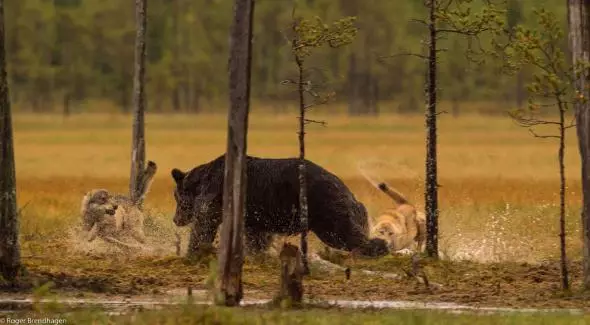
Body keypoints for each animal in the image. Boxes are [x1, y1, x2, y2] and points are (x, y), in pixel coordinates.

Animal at [171, 153, 390, 256]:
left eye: (176, 197)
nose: (176, 219)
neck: (201, 183)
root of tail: (347, 189)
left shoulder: (218, 195)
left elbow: (204, 224)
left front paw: (193, 250)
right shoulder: (255, 213)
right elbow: (256, 236)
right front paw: (256, 253)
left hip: (326, 207)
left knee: (343, 233)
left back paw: (375, 248)